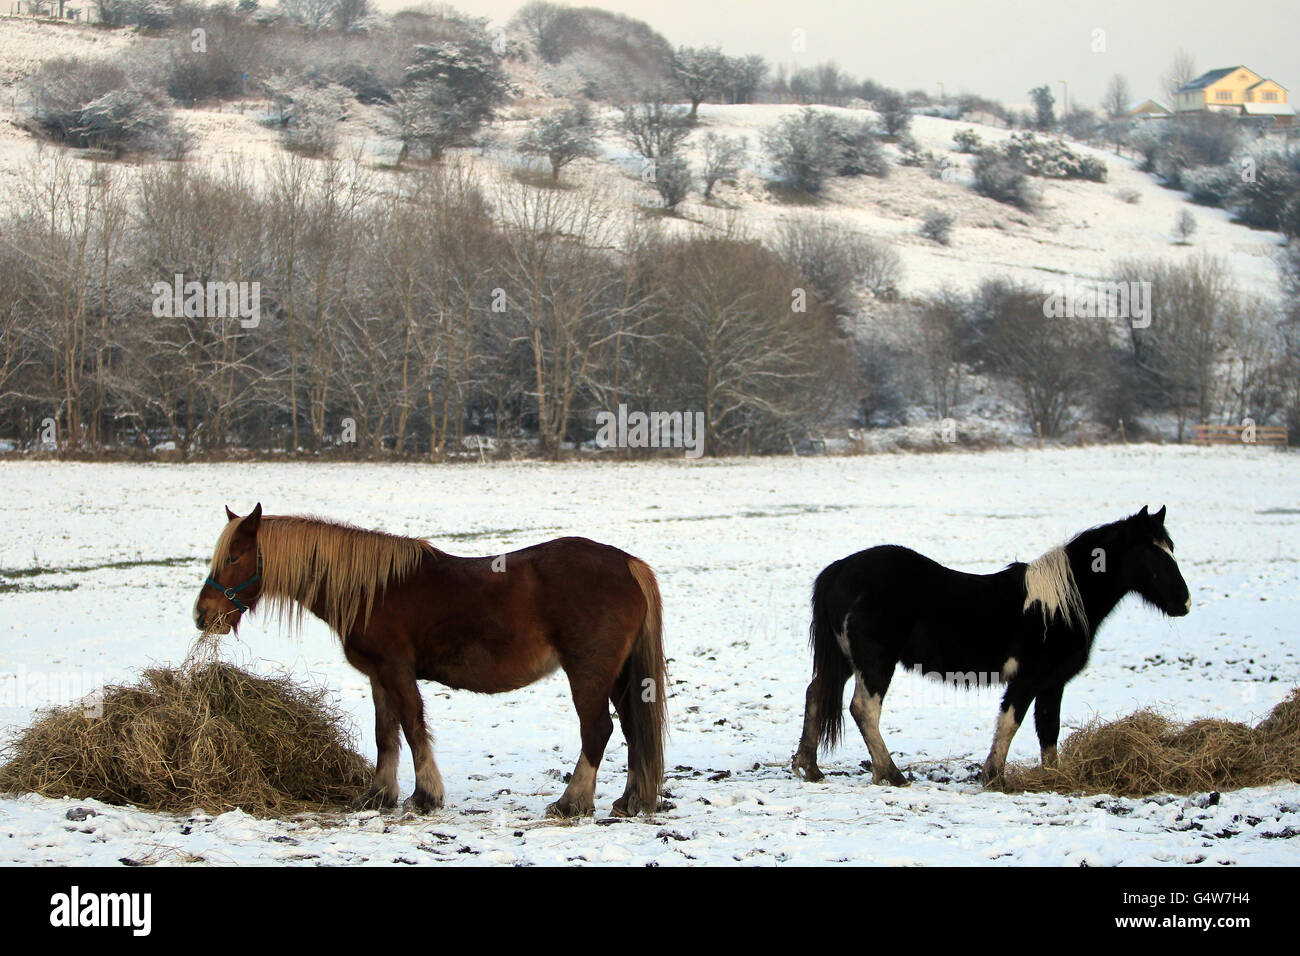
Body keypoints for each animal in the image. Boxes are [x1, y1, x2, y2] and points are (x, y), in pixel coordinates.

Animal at [193, 504, 668, 818]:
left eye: (234, 556)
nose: (202, 615)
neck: (372, 590)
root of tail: (627, 564)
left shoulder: (397, 672)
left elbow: (413, 728)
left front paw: (425, 796)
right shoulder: (378, 677)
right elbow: (386, 735)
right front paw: (378, 795)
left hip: (589, 672)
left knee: (598, 730)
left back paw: (572, 802)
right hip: (619, 677)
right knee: (632, 729)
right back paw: (630, 800)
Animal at [791, 506, 1190, 787]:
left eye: (1171, 548)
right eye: (1152, 554)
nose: (1184, 603)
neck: (1059, 603)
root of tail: (842, 568)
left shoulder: (1052, 683)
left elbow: (1049, 729)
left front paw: (1053, 777)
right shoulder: (1028, 679)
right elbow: (1011, 721)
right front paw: (995, 776)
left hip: (846, 661)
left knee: (816, 694)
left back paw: (810, 767)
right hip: (876, 663)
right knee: (864, 709)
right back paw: (891, 774)